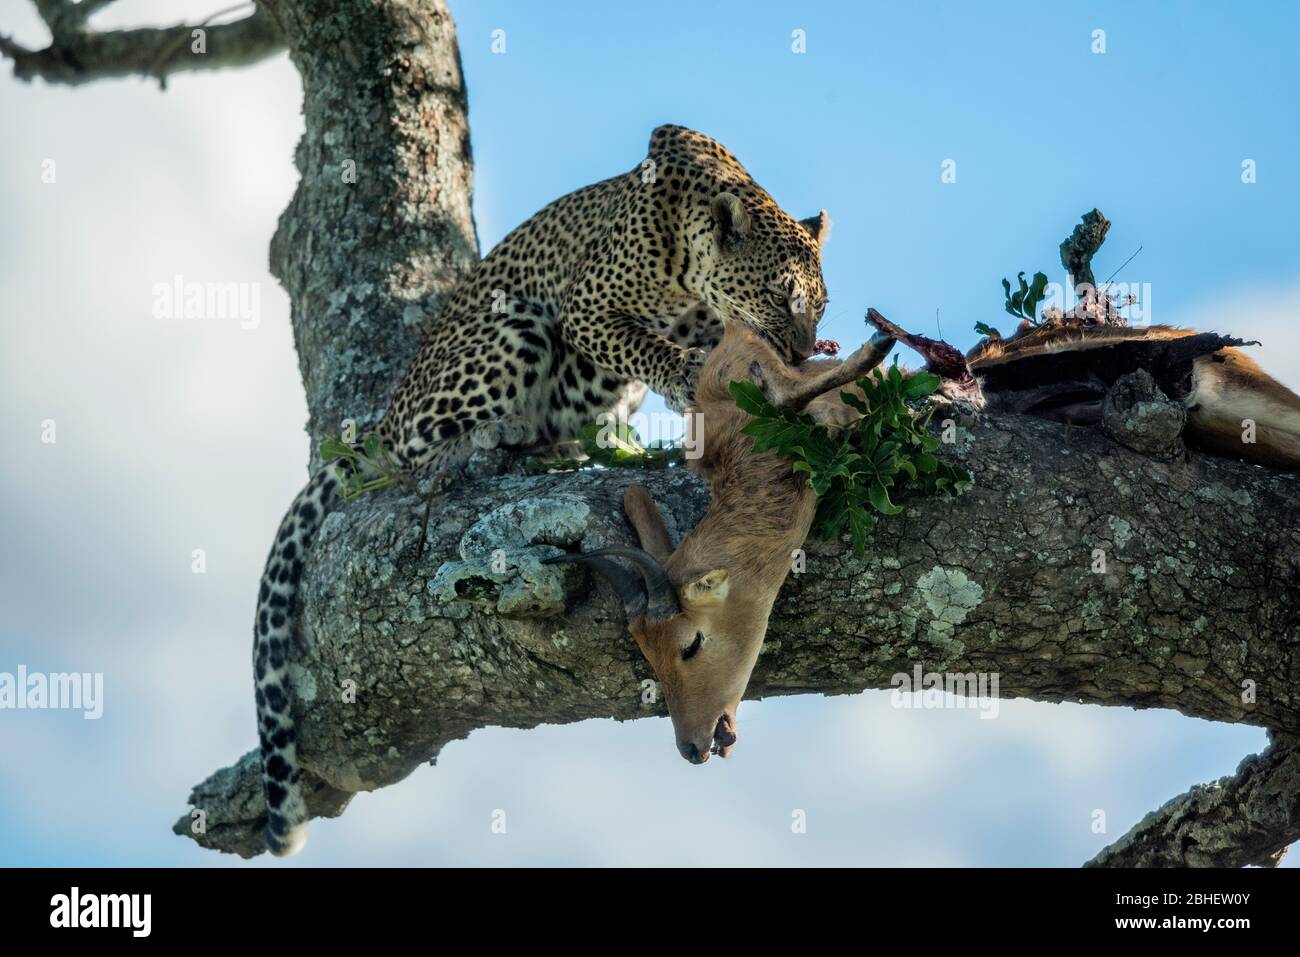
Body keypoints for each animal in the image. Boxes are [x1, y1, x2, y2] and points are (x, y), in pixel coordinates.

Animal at [251, 124, 833, 856]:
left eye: (821, 307)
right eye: (782, 297)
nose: (803, 352)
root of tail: (385, 414)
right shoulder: (588, 310)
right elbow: (649, 348)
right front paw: (690, 370)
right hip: (510, 329)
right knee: (420, 454)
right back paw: (472, 458)